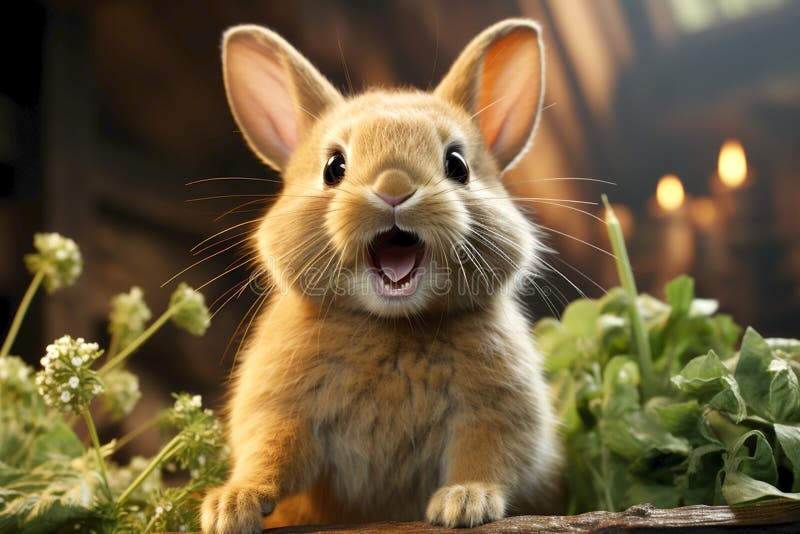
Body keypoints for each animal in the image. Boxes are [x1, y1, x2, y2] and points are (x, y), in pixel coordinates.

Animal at [201, 18, 563, 533]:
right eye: (334, 167)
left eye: (457, 165)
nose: (394, 188)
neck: (393, 323)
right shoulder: (282, 411)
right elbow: (270, 454)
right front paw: (231, 507)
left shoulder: (496, 411)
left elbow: (489, 458)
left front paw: (464, 503)